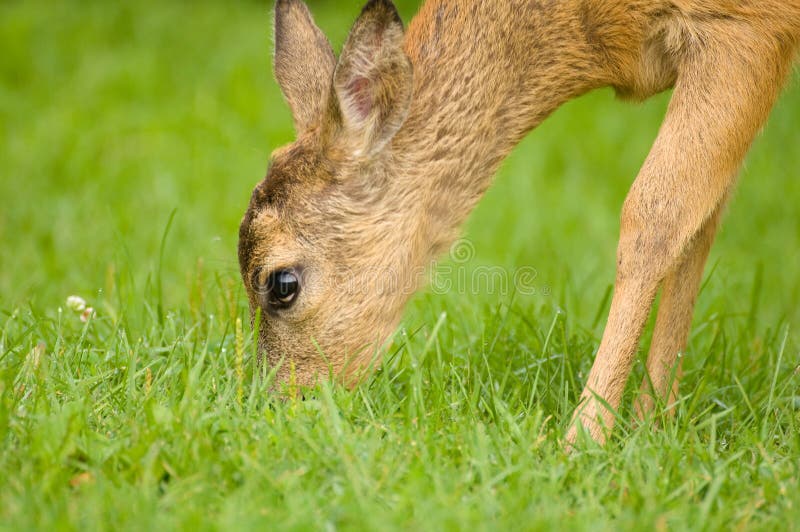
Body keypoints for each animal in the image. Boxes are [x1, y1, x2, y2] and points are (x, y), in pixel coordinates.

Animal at [237, 0, 800, 445]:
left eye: (281, 283)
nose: (283, 406)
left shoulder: (746, 27)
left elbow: (653, 217)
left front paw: (584, 440)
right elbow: (700, 225)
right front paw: (652, 424)